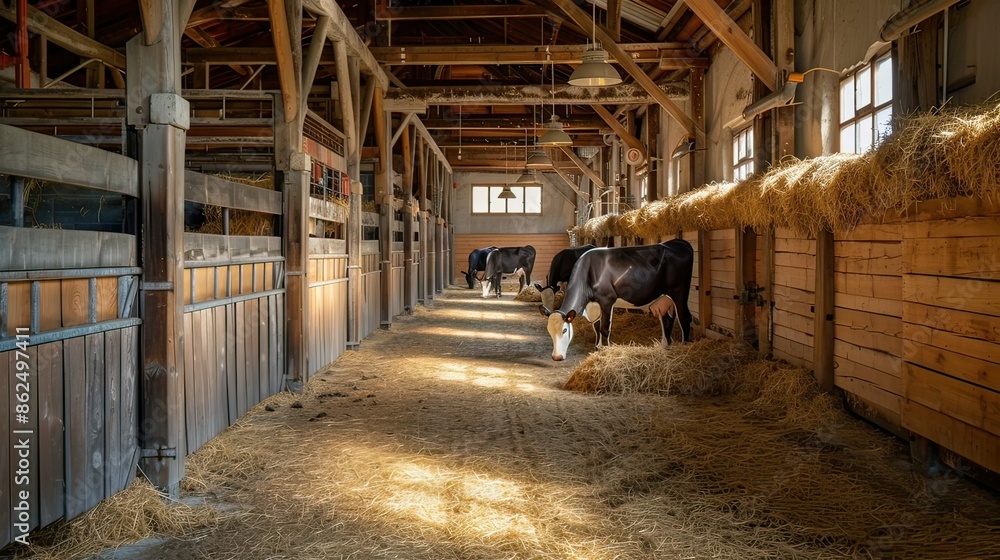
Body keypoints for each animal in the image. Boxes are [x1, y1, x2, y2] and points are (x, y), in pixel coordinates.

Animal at [539, 239, 694, 361]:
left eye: (565, 330)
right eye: (549, 331)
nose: (556, 357)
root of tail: (678, 242)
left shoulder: (607, 300)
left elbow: (604, 328)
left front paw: (605, 351)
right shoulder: (595, 305)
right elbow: (596, 327)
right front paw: (598, 348)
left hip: (679, 292)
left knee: (685, 318)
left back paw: (685, 347)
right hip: (663, 299)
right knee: (667, 319)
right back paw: (666, 347)